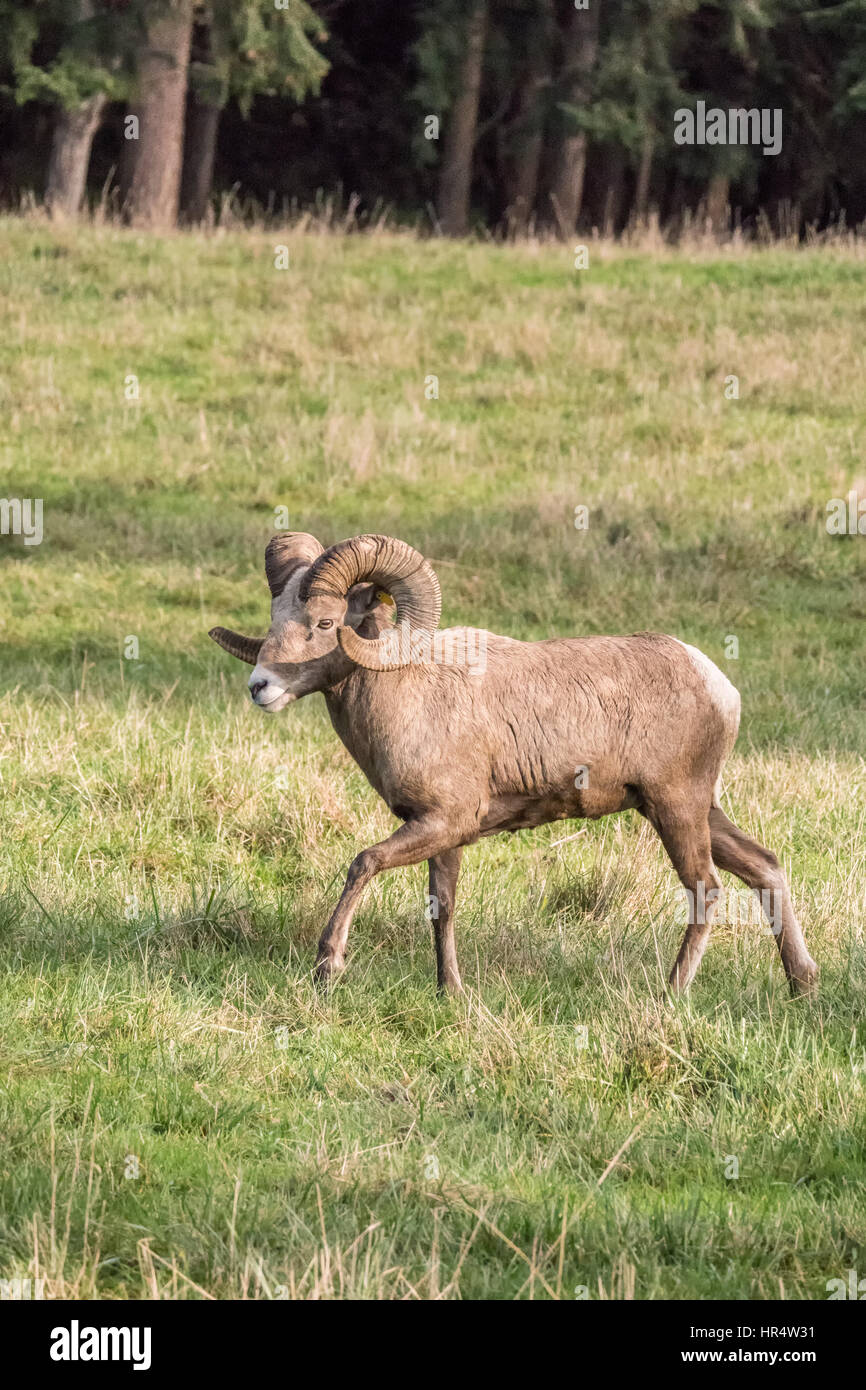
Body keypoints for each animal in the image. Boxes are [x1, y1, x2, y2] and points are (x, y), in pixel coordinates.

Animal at [209, 532, 818, 997]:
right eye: (276, 617)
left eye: (324, 623)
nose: (260, 687)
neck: (409, 689)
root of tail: (719, 685)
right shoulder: (442, 834)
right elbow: (443, 908)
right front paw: (451, 991)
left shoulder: (441, 822)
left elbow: (363, 863)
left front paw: (328, 966)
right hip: (693, 809)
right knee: (765, 867)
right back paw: (802, 984)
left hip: (677, 807)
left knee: (706, 889)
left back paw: (673, 992)